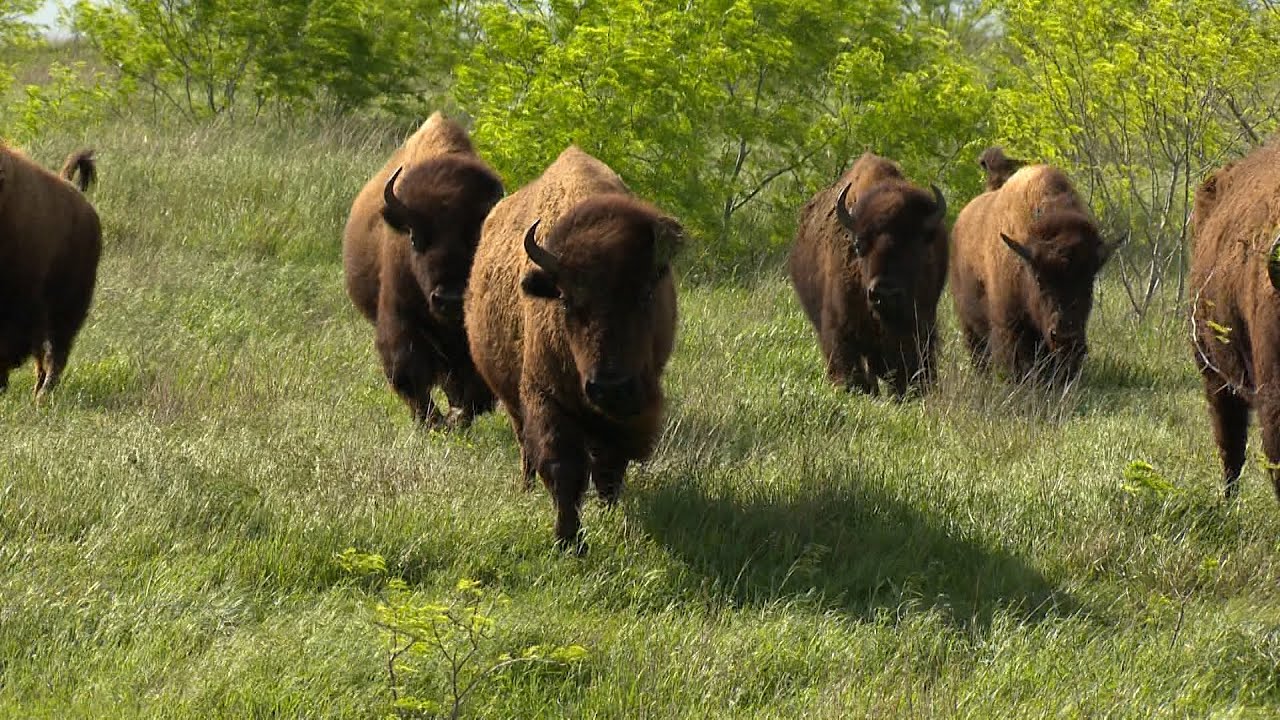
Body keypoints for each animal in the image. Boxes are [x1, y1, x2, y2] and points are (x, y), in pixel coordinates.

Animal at [342, 113, 503, 427]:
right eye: (415, 237)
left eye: (476, 236)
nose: (449, 299)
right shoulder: (400, 319)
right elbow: (407, 371)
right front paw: (433, 422)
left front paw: (456, 419)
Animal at [465, 146, 682, 550]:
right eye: (565, 300)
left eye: (647, 292)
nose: (610, 386)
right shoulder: (544, 396)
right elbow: (562, 465)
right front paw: (569, 542)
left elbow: (610, 462)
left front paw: (609, 511)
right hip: (512, 400)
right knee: (525, 445)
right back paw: (526, 489)